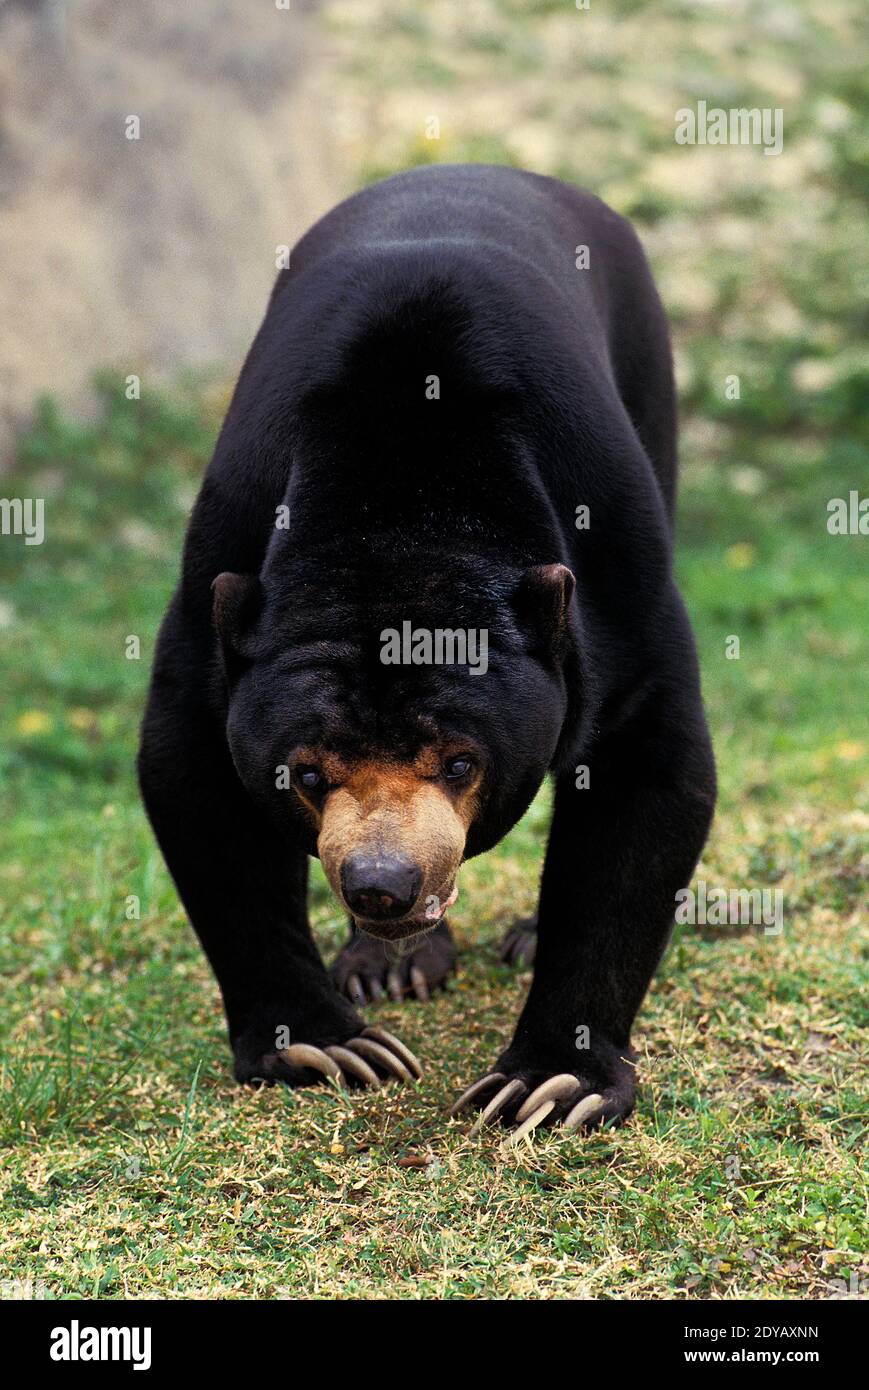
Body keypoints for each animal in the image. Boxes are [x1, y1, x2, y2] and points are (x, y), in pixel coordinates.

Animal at [139, 164, 716, 1136]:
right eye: (306, 772)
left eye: (457, 762)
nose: (382, 884)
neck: (403, 507)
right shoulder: (227, 552)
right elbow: (193, 770)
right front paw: (329, 1047)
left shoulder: (615, 558)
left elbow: (646, 767)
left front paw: (550, 1081)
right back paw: (387, 965)